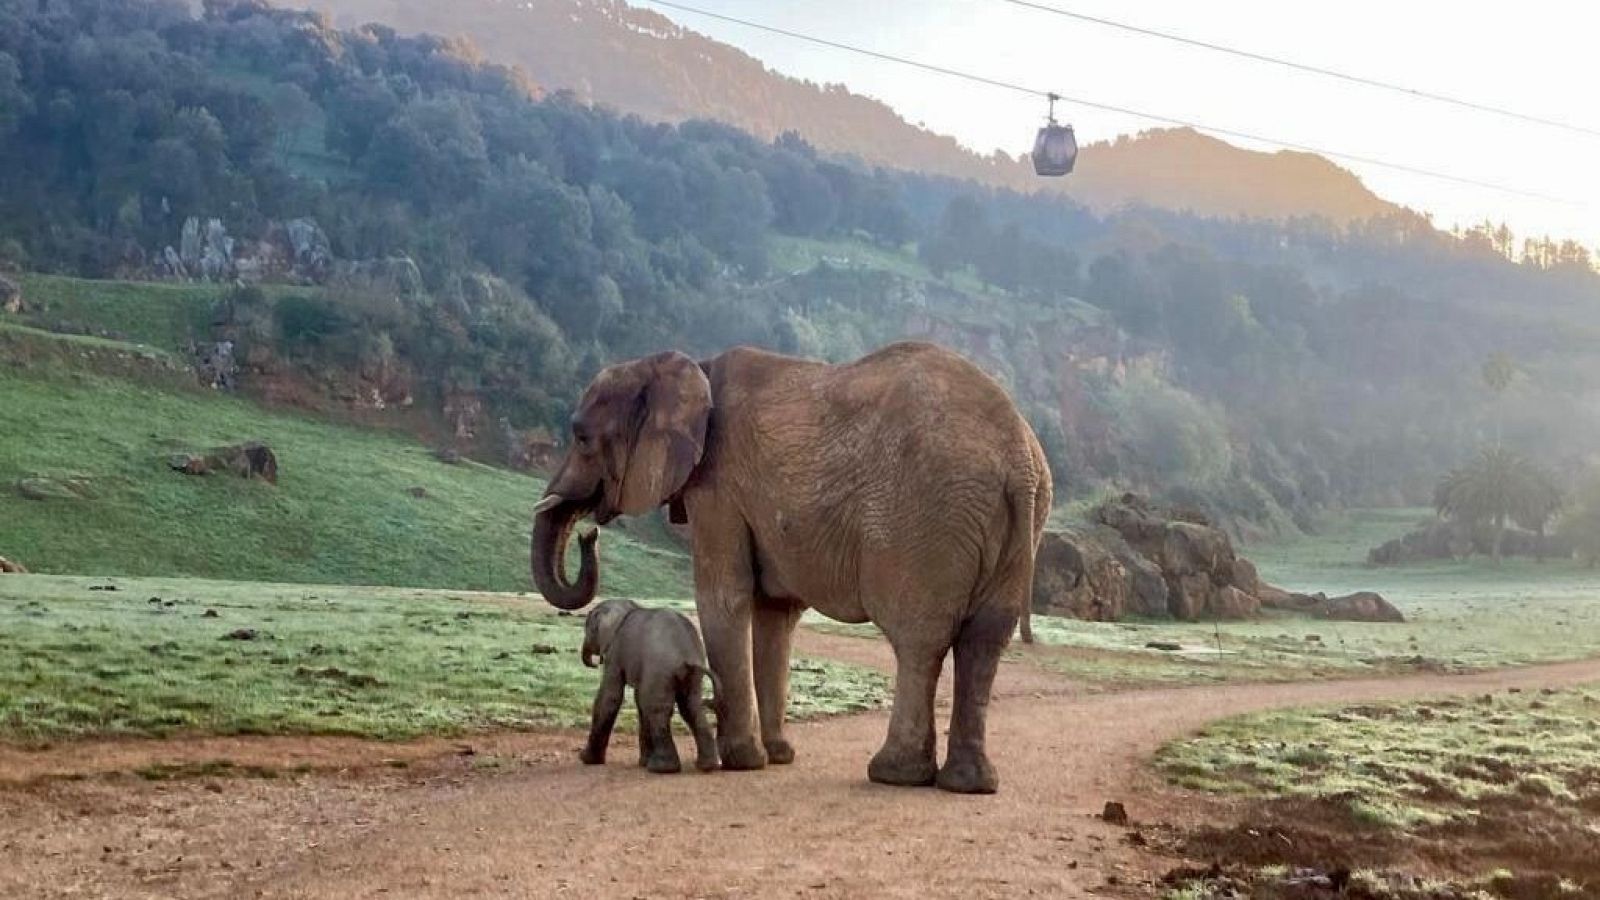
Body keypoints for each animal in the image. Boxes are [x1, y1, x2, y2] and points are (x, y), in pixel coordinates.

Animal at [579, 598, 719, 774]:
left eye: (588, 628)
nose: (593, 664)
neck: (626, 606)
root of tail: (687, 655)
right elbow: (638, 699)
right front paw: (642, 762)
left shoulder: (615, 651)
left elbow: (610, 696)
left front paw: (586, 759)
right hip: (692, 675)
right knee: (691, 707)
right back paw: (707, 766)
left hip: (661, 669)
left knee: (656, 708)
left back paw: (662, 768)